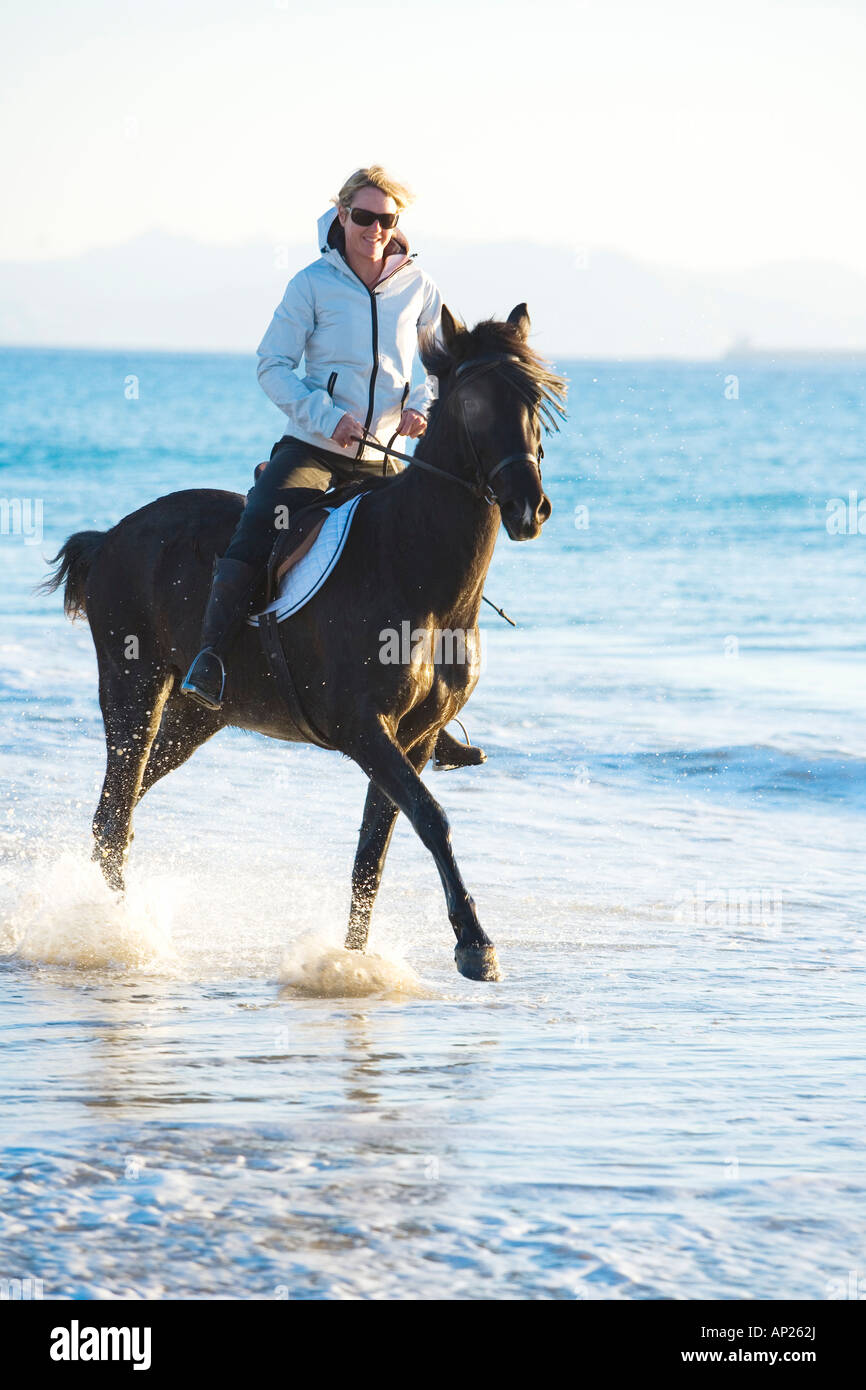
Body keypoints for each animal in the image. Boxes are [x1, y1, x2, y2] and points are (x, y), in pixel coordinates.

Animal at [39, 304, 567, 981]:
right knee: (113, 814)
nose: (531, 508)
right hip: (134, 689)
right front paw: (475, 944)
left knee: (121, 812)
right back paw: (117, 934)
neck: (418, 570)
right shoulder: (364, 729)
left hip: (195, 718)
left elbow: (373, 855)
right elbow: (431, 819)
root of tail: (109, 537)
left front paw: (353, 963)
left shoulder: (416, 739)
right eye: (474, 402)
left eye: (536, 401)